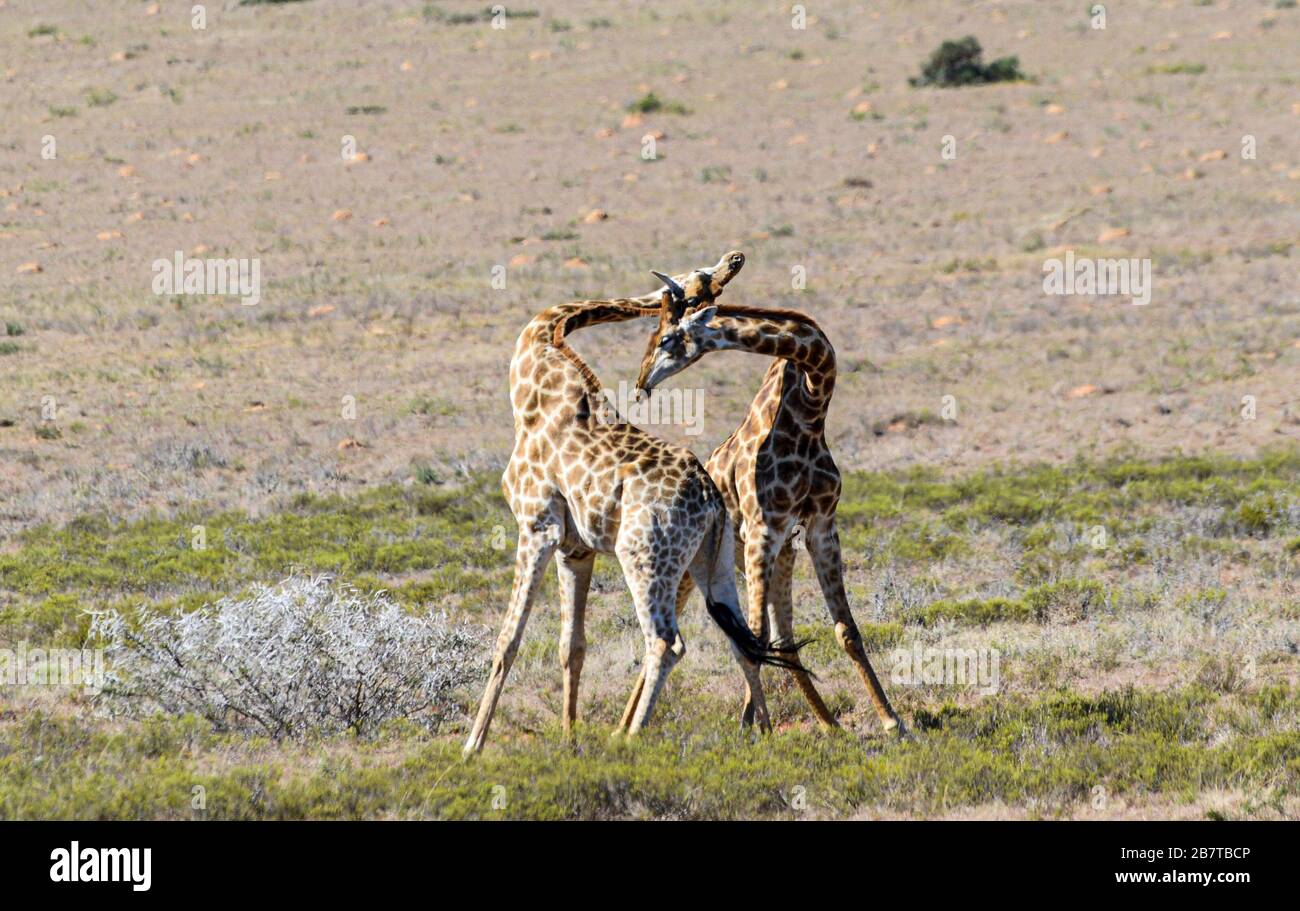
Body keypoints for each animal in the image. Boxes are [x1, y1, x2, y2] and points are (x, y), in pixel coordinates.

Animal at [462, 255, 801, 756]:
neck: (535, 370)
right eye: (706, 280)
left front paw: (472, 745)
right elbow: (572, 646)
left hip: (644, 558)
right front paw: (568, 737)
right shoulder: (575, 548)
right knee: (745, 641)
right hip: (714, 561)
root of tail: (710, 502)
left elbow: (508, 640)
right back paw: (764, 733)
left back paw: (630, 739)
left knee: (666, 644)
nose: (735, 259)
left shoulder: (537, 526)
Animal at [633, 268, 903, 735]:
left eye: (666, 338)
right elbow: (754, 636)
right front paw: (754, 728)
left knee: (783, 637)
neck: (811, 407)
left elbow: (844, 630)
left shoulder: (818, 526)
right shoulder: (762, 528)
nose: (640, 382)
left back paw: (829, 724)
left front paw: (891, 720)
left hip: (781, 556)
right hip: (695, 568)